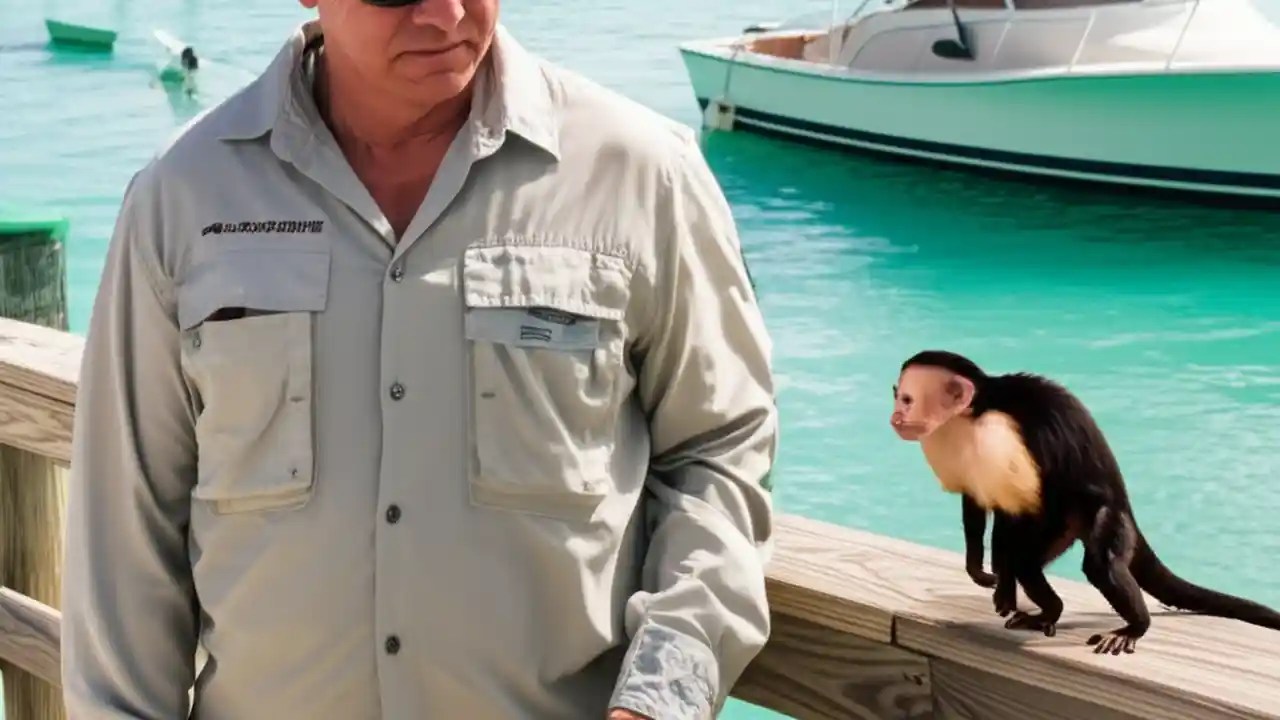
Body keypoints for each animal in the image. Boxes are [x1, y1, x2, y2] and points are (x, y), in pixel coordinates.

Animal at [889, 349, 1280, 655]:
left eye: (906, 400)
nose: (895, 416)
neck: (973, 412)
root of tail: (1126, 504)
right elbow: (976, 499)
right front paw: (980, 568)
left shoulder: (999, 433)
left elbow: (1023, 507)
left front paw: (1003, 581)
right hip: (1066, 529)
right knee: (1033, 558)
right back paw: (1048, 610)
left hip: (1101, 515)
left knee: (1095, 560)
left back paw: (1132, 626)